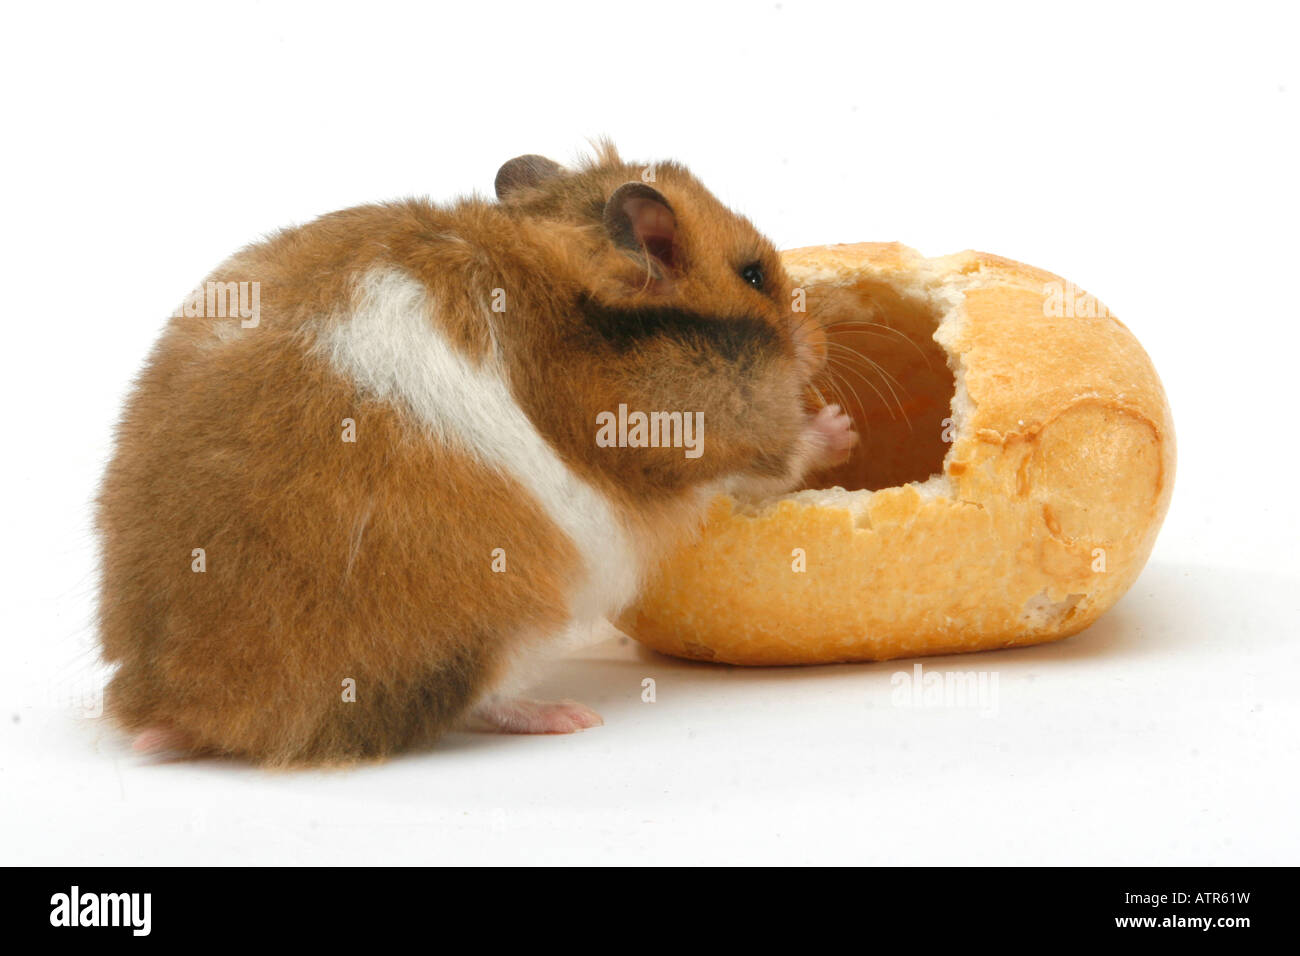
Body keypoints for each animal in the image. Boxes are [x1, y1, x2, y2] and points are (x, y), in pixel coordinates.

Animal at [96, 141, 857, 765]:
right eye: (753, 275)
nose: (821, 345)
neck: (579, 308)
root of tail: (177, 702)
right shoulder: (695, 440)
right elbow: (775, 458)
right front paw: (840, 425)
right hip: (509, 621)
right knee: (485, 701)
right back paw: (570, 717)